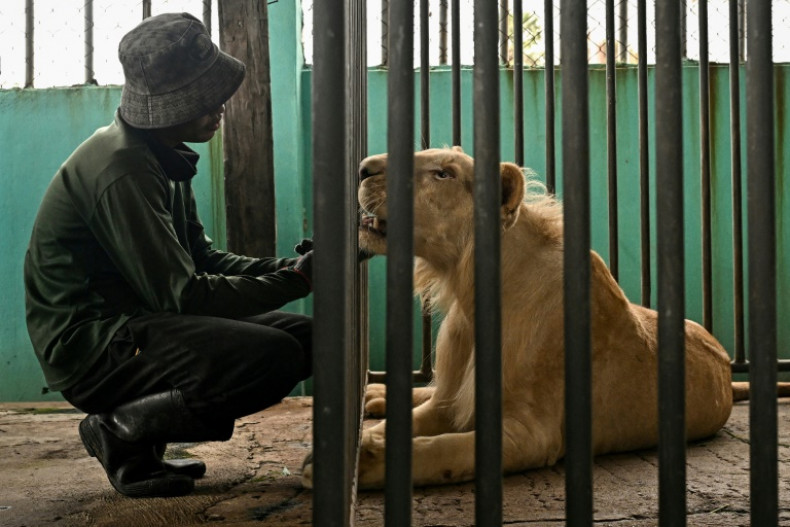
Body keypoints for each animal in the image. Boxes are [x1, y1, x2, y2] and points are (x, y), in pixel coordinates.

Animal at [301, 146, 768, 490]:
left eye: (443, 174)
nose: (362, 169)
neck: (472, 297)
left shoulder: (533, 433)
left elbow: (443, 449)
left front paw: (367, 458)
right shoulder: (448, 401)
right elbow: (411, 420)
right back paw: (375, 394)